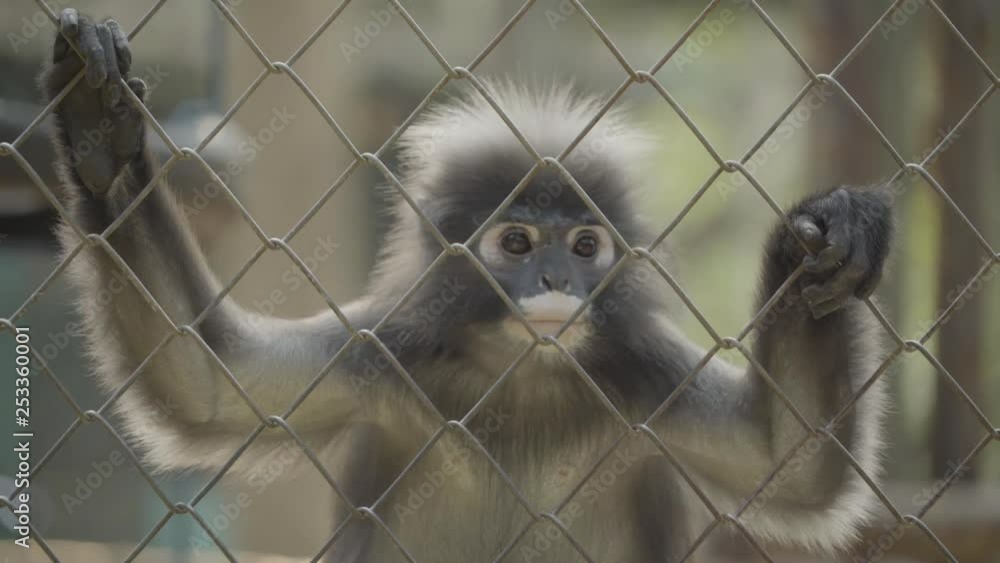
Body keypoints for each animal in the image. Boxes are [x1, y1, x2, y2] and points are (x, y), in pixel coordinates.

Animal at [43, 9, 893, 562]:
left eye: (585, 245)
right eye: (516, 242)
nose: (555, 277)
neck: (524, 371)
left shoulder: (646, 373)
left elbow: (794, 458)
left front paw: (829, 241)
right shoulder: (382, 351)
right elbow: (207, 383)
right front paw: (102, 136)